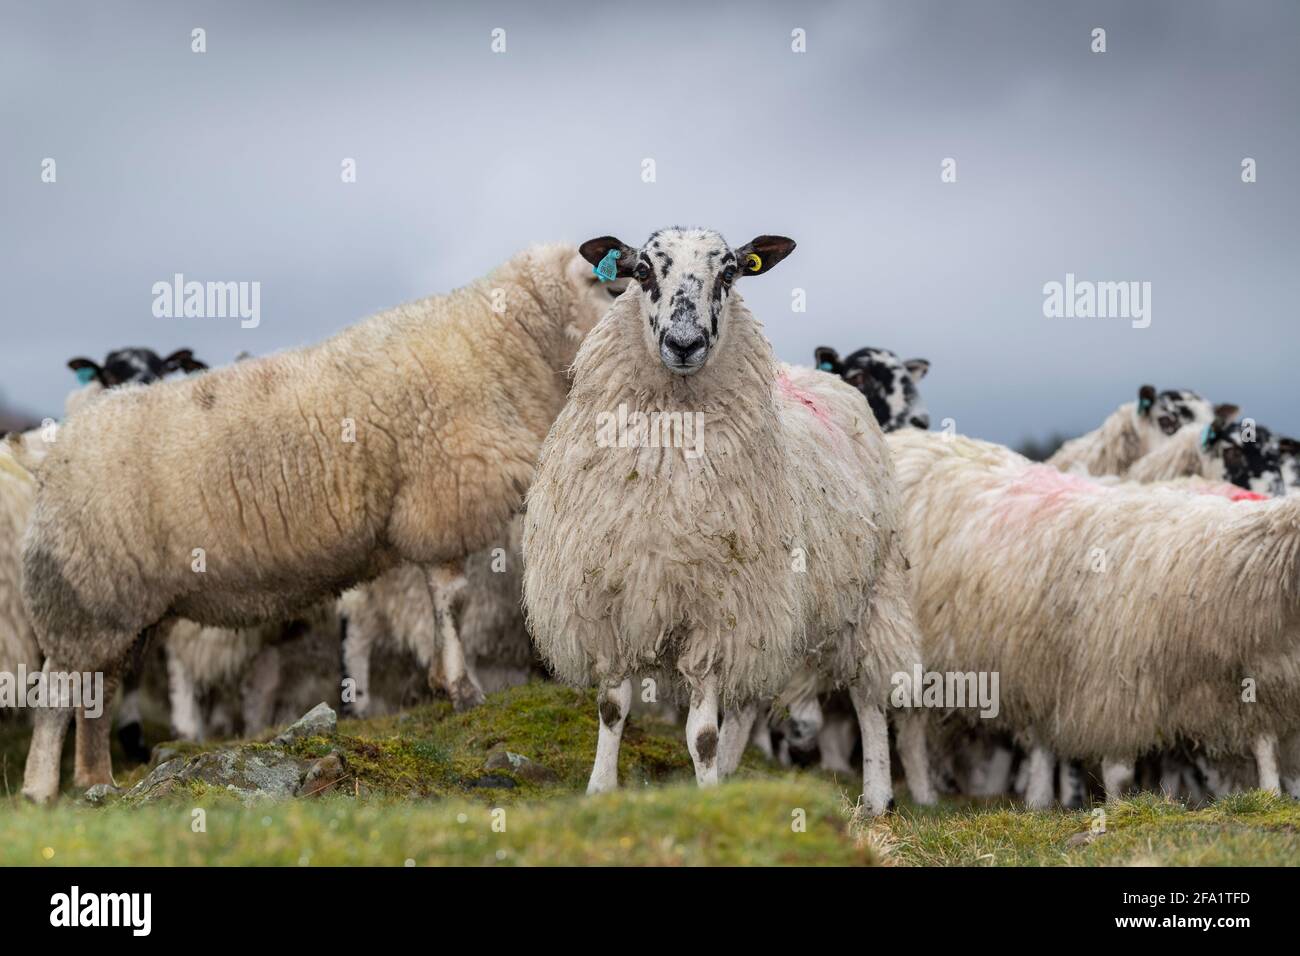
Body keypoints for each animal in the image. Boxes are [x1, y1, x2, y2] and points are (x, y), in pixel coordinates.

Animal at [19, 244, 615, 802]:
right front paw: (461, 689)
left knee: (98, 691)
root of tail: (57, 448)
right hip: (85, 598)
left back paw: (95, 779)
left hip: (121, 611)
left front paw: (451, 684)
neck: (498, 341)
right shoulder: (439, 499)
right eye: (610, 283)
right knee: (58, 696)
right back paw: (42, 790)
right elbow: (452, 602)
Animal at [522, 228, 931, 815]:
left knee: (868, 695)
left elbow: (702, 734)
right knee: (750, 703)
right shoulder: (612, 603)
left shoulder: (720, 614)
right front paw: (600, 789)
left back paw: (876, 796)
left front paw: (709, 794)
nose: (684, 342)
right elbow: (613, 708)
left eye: (730, 272)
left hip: (868, 598)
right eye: (642, 270)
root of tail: (814, 375)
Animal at [887, 427, 1300, 806]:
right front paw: (1118, 809)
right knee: (910, 732)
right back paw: (924, 796)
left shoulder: (1257, 682)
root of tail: (908, 439)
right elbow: (1119, 771)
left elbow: (1265, 750)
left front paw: (1270, 797)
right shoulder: (1112, 685)